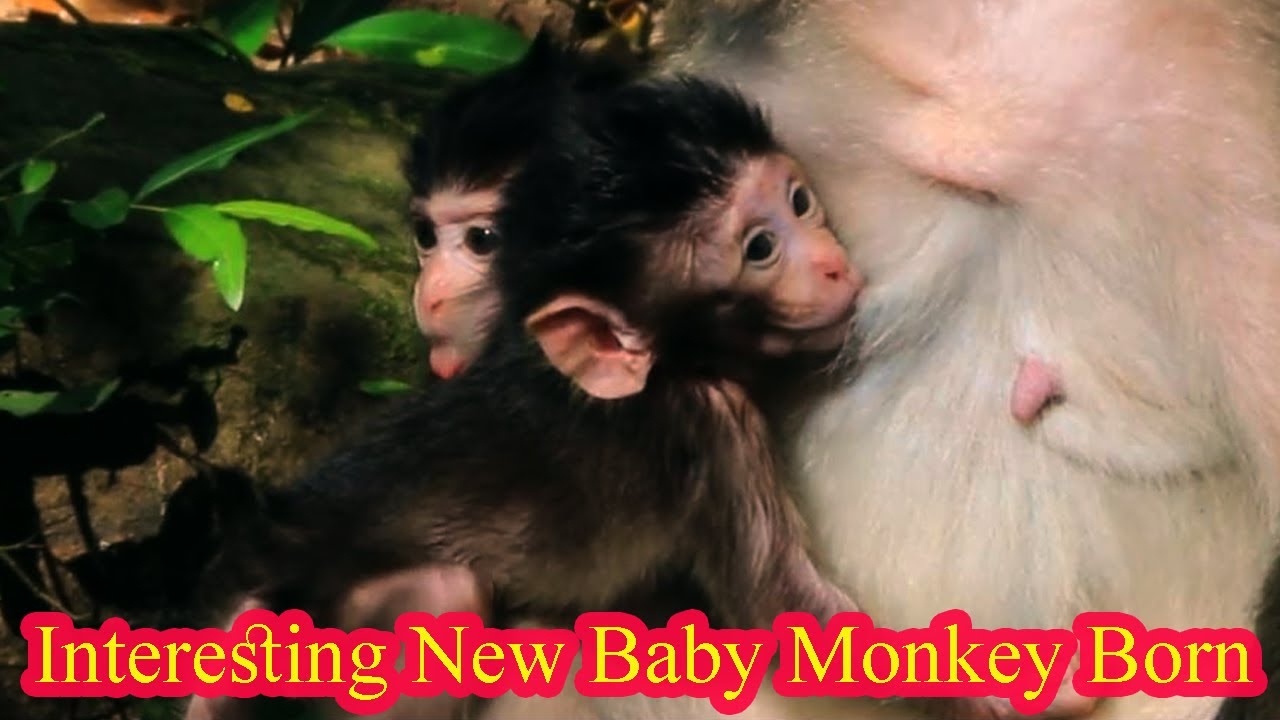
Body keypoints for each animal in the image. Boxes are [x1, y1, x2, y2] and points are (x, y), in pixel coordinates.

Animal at [186, 73, 864, 720]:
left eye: (800, 201)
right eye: (760, 249)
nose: (834, 266)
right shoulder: (713, 428)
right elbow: (791, 611)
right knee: (444, 596)